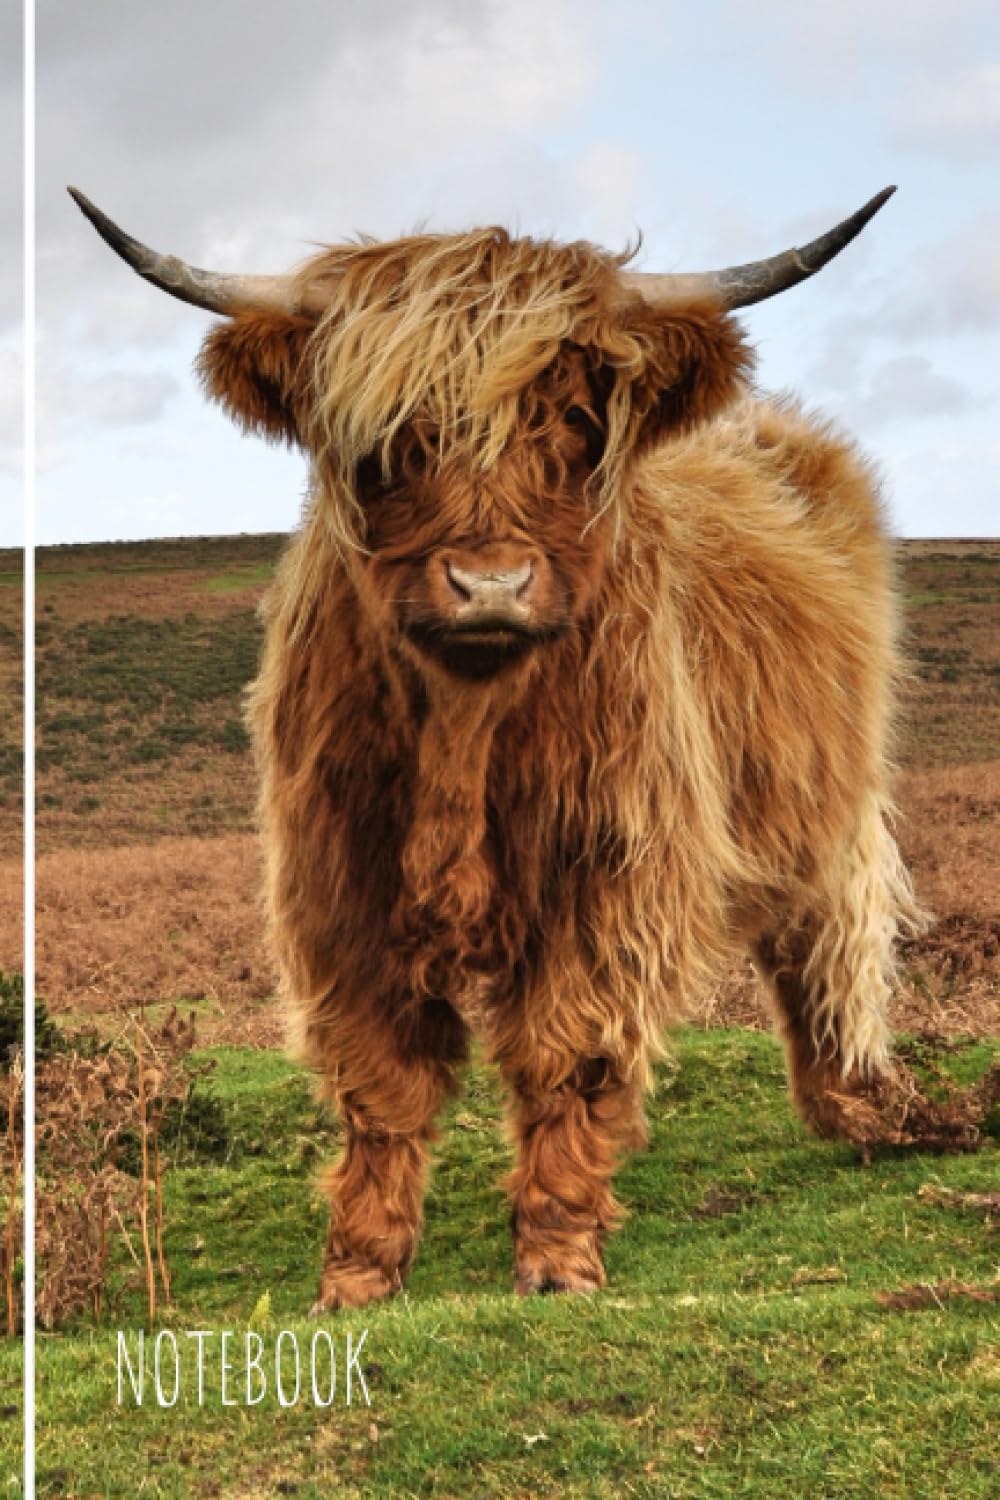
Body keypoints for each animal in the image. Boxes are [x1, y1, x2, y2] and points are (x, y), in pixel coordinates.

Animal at [74, 184, 952, 1312]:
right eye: (389, 439)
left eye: (573, 420)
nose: (488, 584)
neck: (465, 717)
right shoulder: (339, 886)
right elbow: (381, 1079)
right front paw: (356, 1273)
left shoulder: (607, 872)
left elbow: (568, 1056)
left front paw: (557, 1258)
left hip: (832, 799)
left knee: (828, 943)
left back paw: (864, 1110)